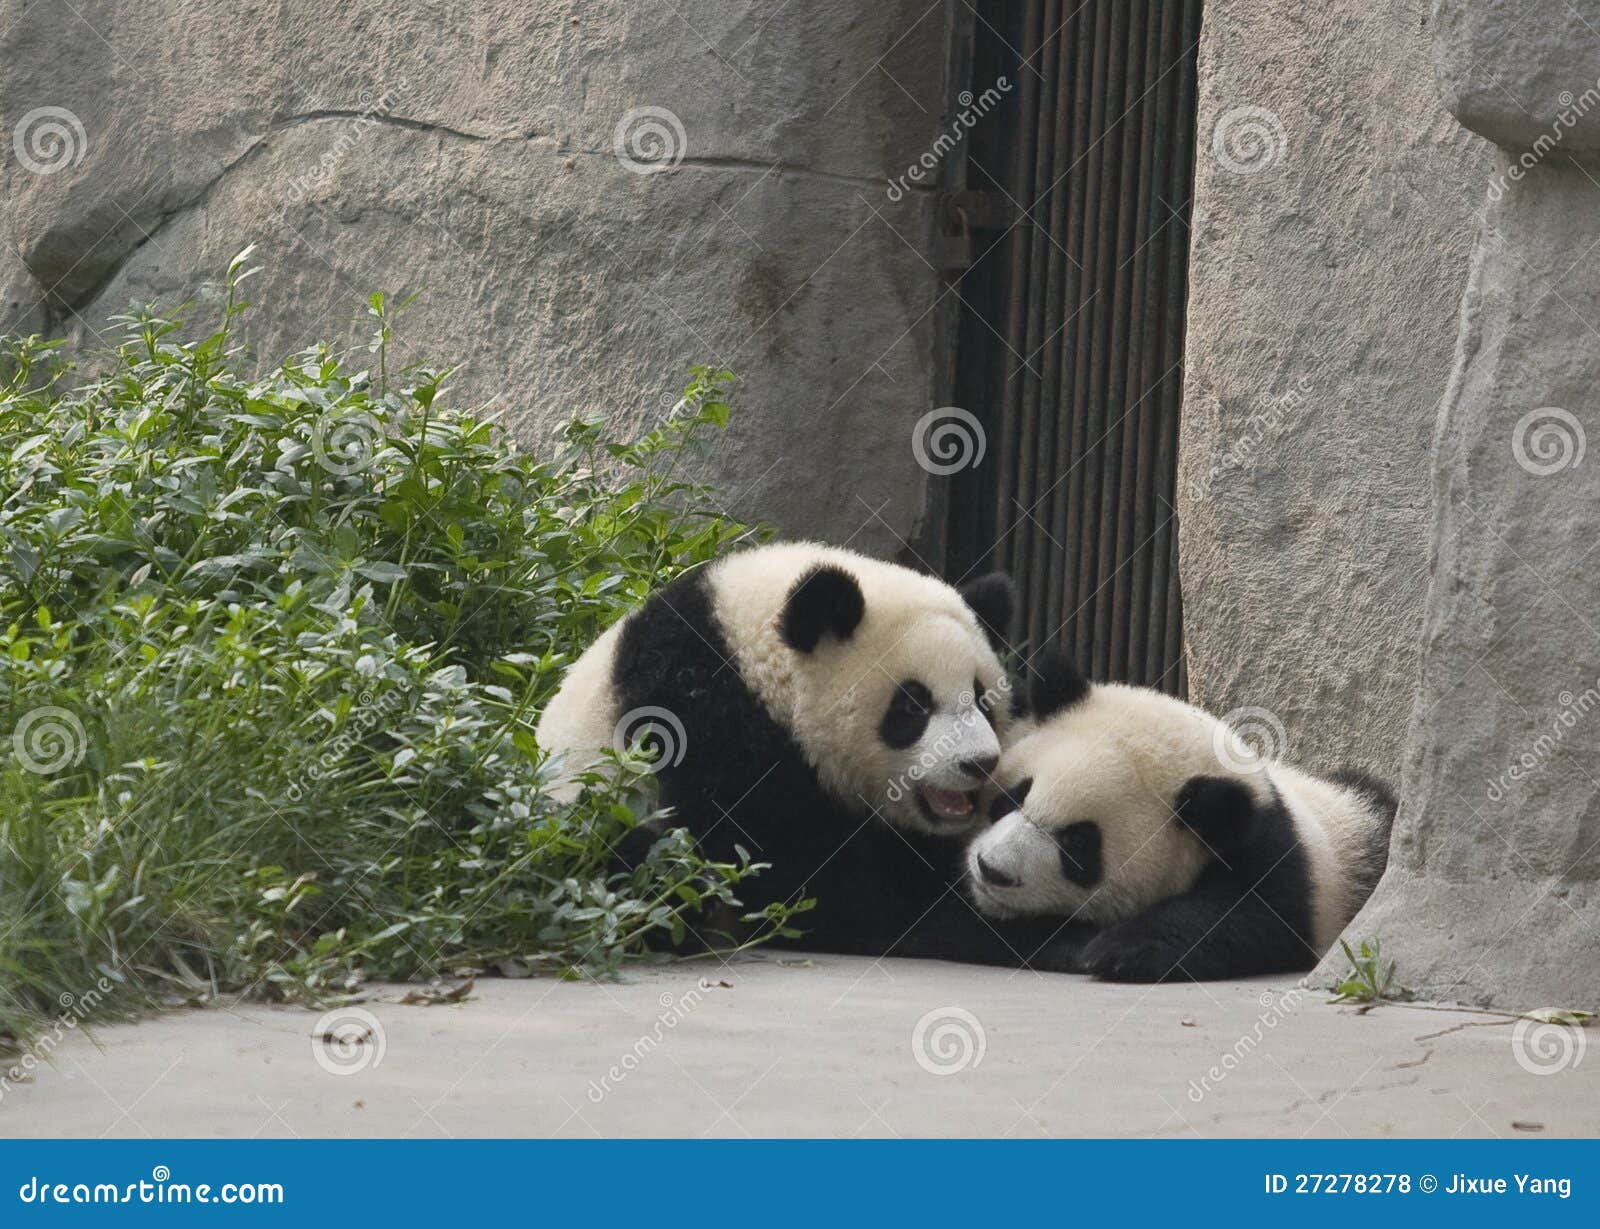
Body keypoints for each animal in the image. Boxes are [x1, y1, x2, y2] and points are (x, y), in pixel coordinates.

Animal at [535, 541, 1078, 967]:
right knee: (635, 861)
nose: (979, 763)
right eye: (912, 705)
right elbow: (824, 887)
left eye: (983, 699)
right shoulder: (710, 729)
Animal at [963, 647, 1396, 982]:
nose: (991, 870)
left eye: (1079, 844)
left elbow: (1258, 919)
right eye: (1015, 795)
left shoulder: (1273, 856)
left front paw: (1118, 949)